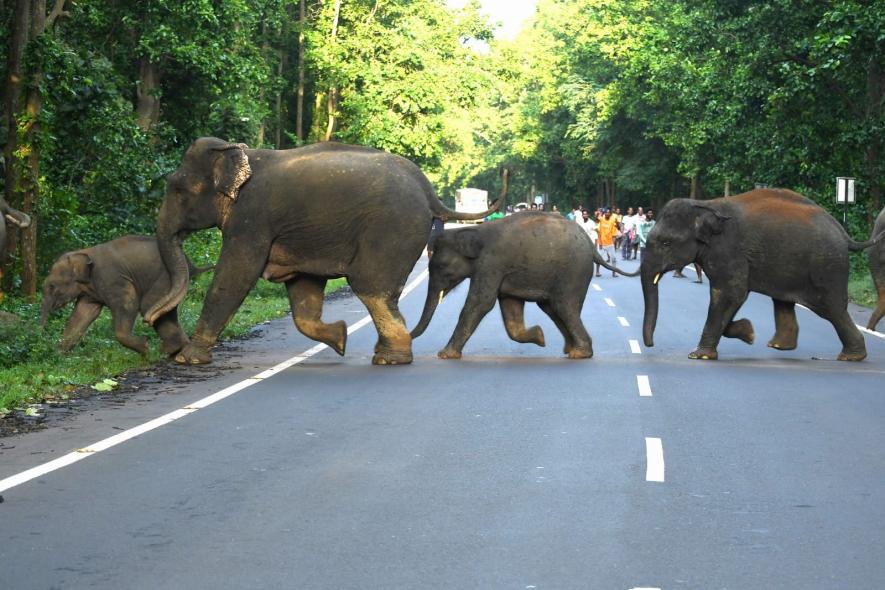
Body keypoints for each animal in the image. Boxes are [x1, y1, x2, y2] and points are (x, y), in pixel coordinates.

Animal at [40, 235, 211, 354]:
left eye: (52, 286)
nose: (40, 334)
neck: (84, 253)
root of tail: (190, 263)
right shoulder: (90, 291)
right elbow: (82, 315)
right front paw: (59, 354)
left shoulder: (113, 279)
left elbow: (128, 304)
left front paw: (145, 347)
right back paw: (176, 349)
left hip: (166, 279)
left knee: (148, 305)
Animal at [144, 137, 507, 366]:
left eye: (177, 190)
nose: (149, 317)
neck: (240, 152)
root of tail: (430, 193)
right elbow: (302, 289)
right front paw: (341, 337)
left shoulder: (252, 218)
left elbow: (236, 273)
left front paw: (189, 359)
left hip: (393, 231)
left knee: (370, 286)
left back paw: (390, 358)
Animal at [410, 212, 638, 359]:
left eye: (440, 265)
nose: (408, 336)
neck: (474, 230)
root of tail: (592, 247)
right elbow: (510, 307)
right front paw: (540, 336)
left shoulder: (491, 263)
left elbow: (480, 302)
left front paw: (445, 355)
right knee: (553, 307)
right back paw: (570, 349)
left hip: (573, 272)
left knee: (563, 306)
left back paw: (580, 353)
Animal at [640, 188, 877, 361]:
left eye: (666, 243)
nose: (651, 345)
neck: (705, 205)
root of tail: (844, 234)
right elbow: (731, 296)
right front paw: (749, 333)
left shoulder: (729, 250)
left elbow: (731, 293)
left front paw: (699, 356)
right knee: (784, 301)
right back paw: (780, 346)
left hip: (826, 268)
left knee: (831, 309)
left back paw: (850, 357)